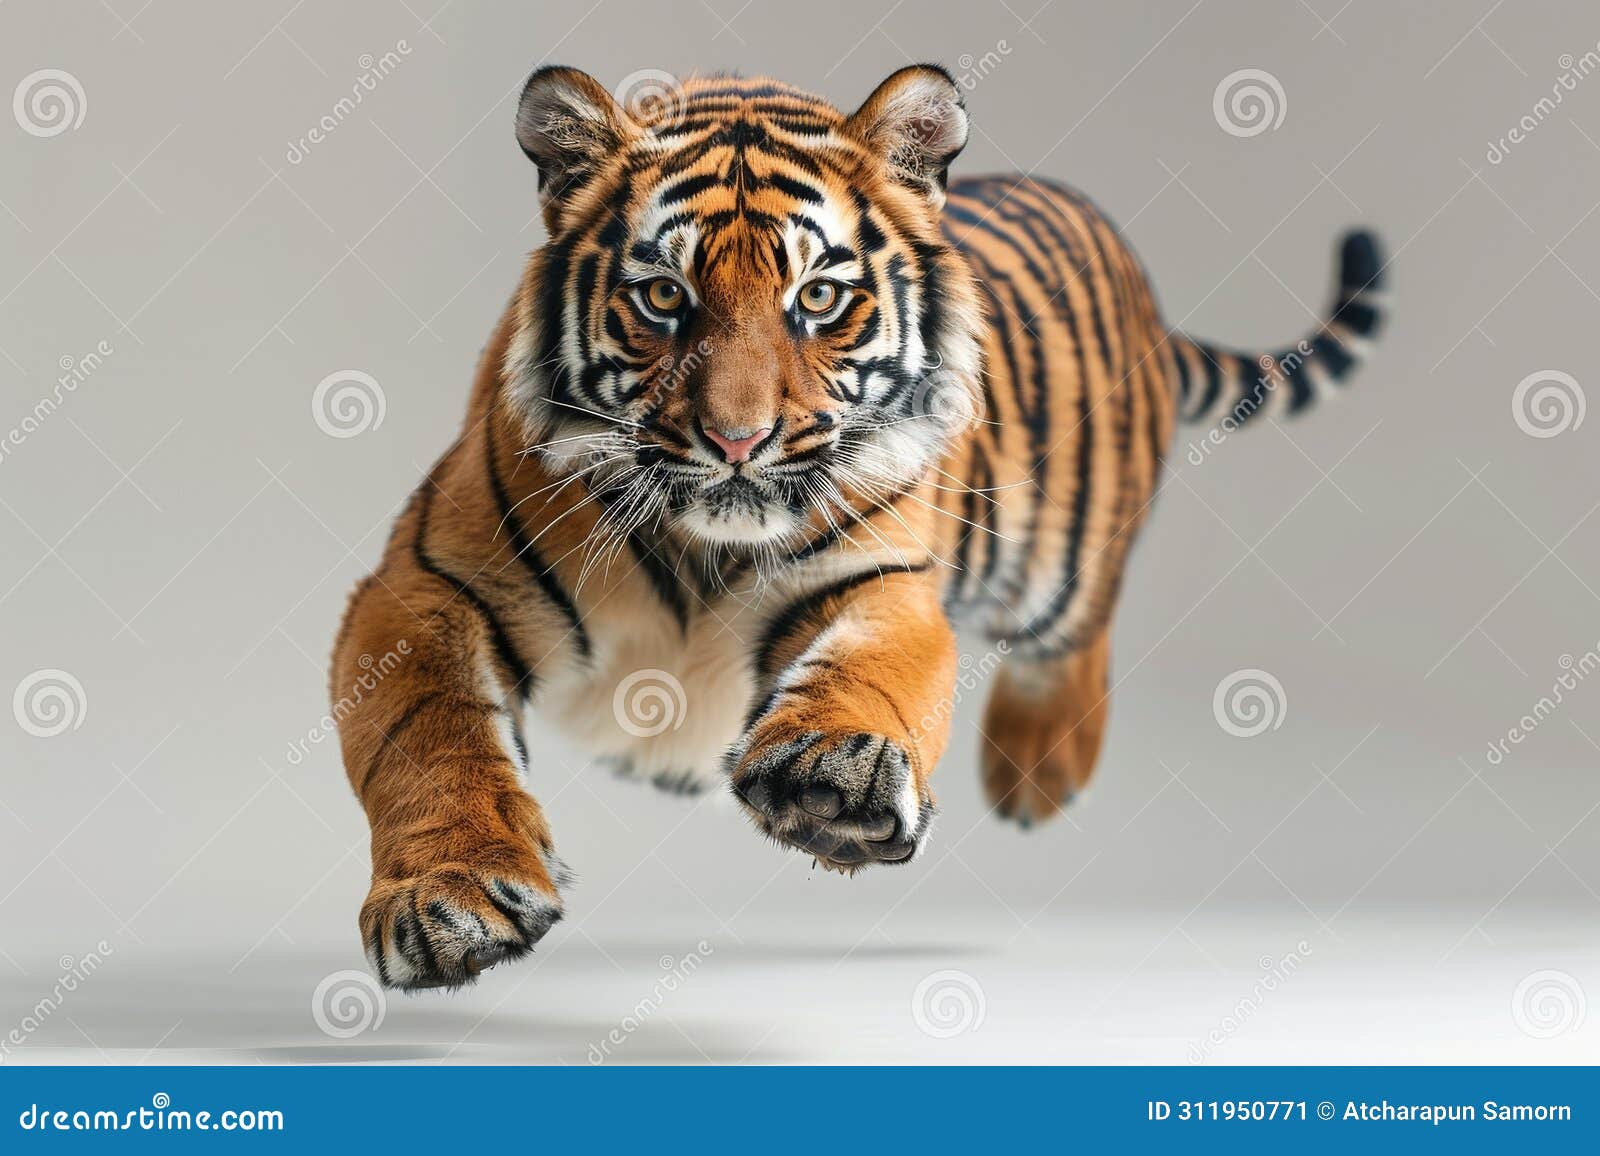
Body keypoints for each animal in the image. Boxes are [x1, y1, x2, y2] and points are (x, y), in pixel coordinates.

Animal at [330, 64, 1386, 989]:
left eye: (820, 298)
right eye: (664, 296)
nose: (738, 440)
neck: (702, 548)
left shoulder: (880, 580)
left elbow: (875, 672)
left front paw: (835, 783)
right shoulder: (425, 583)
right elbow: (425, 733)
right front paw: (446, 900)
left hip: (1066, 558)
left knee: (1077, 634)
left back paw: (1037, 776)